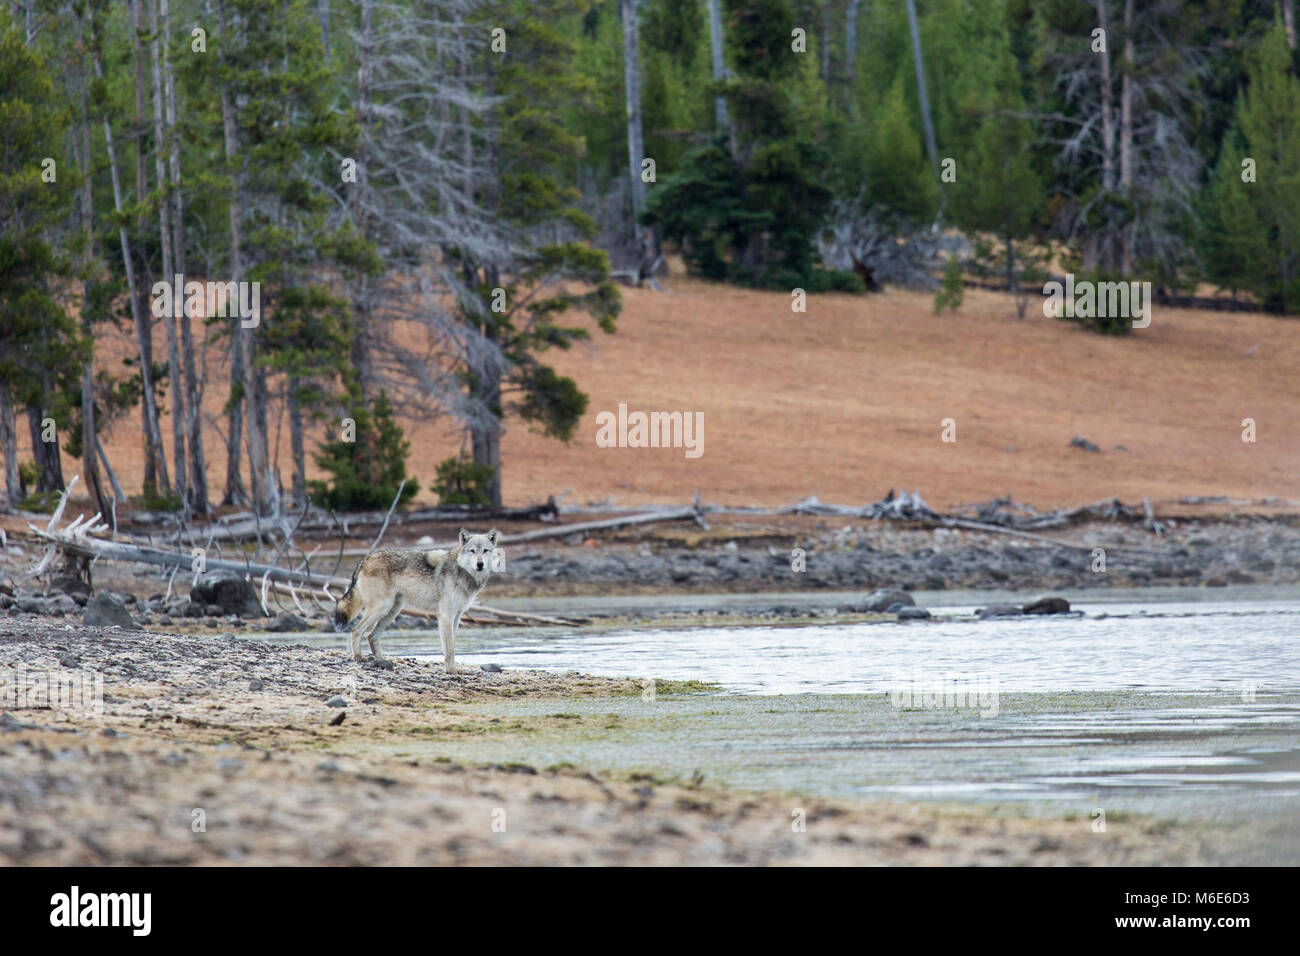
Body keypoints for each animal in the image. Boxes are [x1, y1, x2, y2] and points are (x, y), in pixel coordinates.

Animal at [333, 529, 500, 673]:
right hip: (382, 608)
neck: (462, 572)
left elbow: (451, 646)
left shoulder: (457, 616)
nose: (480, 564)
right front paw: (452, 671)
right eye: (472, 551)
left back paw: (383, 661)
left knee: (372, 636)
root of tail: (365, 559)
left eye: (485, 550)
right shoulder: (445, 616)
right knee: (356, 630)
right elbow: (450, 649)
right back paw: (359, 658)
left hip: (392, 611)